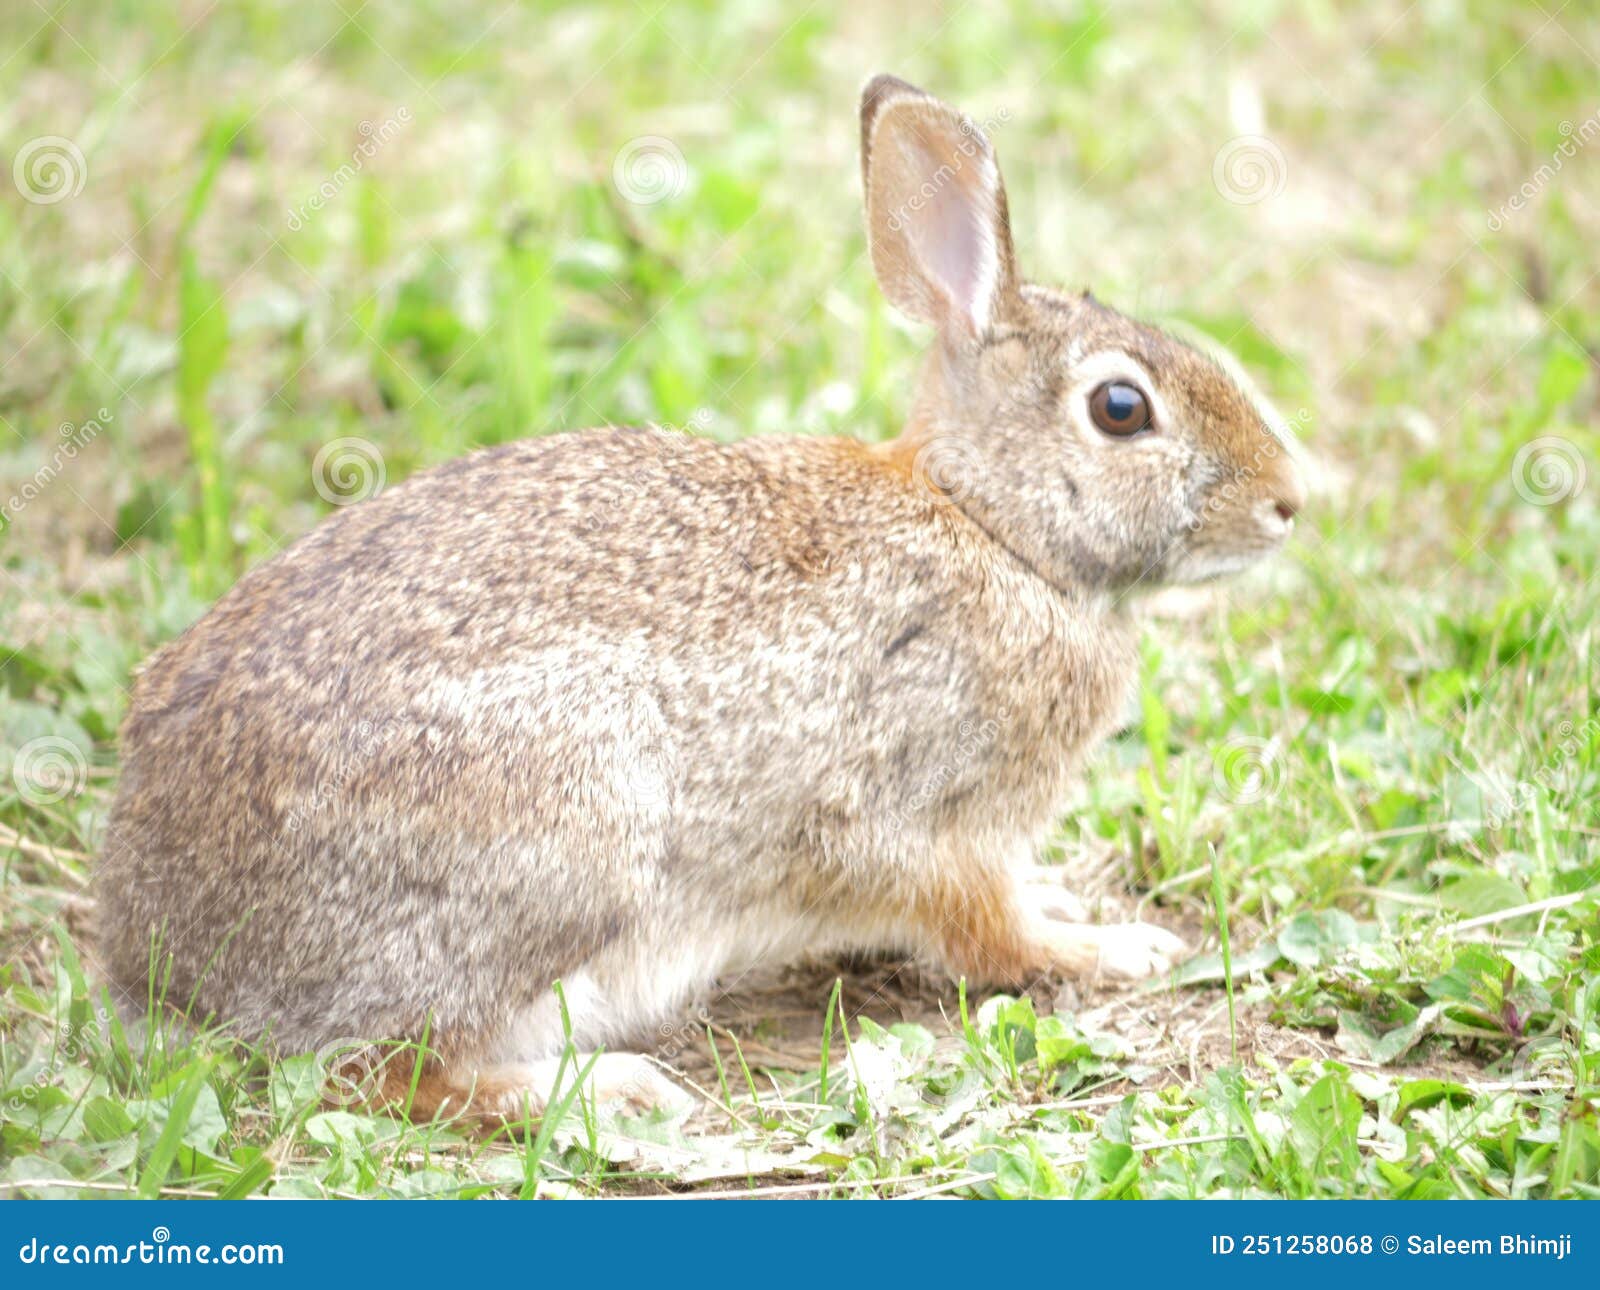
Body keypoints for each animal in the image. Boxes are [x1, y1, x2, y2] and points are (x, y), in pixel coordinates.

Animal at [94, 73, 1306, 1123]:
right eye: (1120, 409)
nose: (1289, 501)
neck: (992, 526)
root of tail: (164, 951)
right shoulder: (915, 814)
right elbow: (986, 928)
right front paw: (1113, 949)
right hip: (571, 836)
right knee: (384, 1068)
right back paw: (612, 1094)